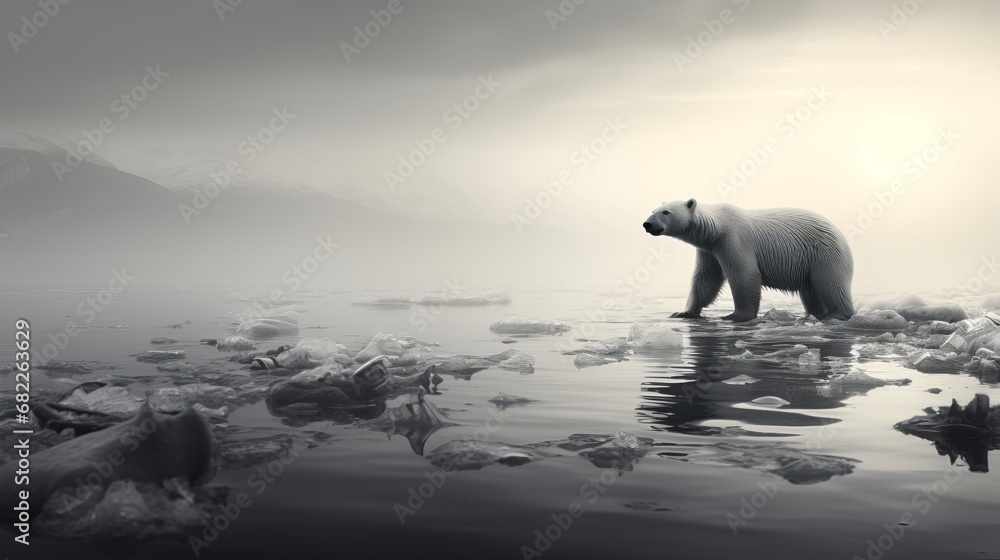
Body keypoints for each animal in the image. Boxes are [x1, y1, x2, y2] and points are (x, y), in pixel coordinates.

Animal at [642, 199, 855, 322]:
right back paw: (815, 313)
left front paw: (735, 315)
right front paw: (685, 312)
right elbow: (706, 278)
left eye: (666, 212)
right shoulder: (709, 249)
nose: (647, 224)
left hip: (824, 254)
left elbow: (745, 275)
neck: (716, 228)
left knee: (830, 282)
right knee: (811, 292)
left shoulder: (733, 239)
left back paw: (835, 314)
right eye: (653, 210)